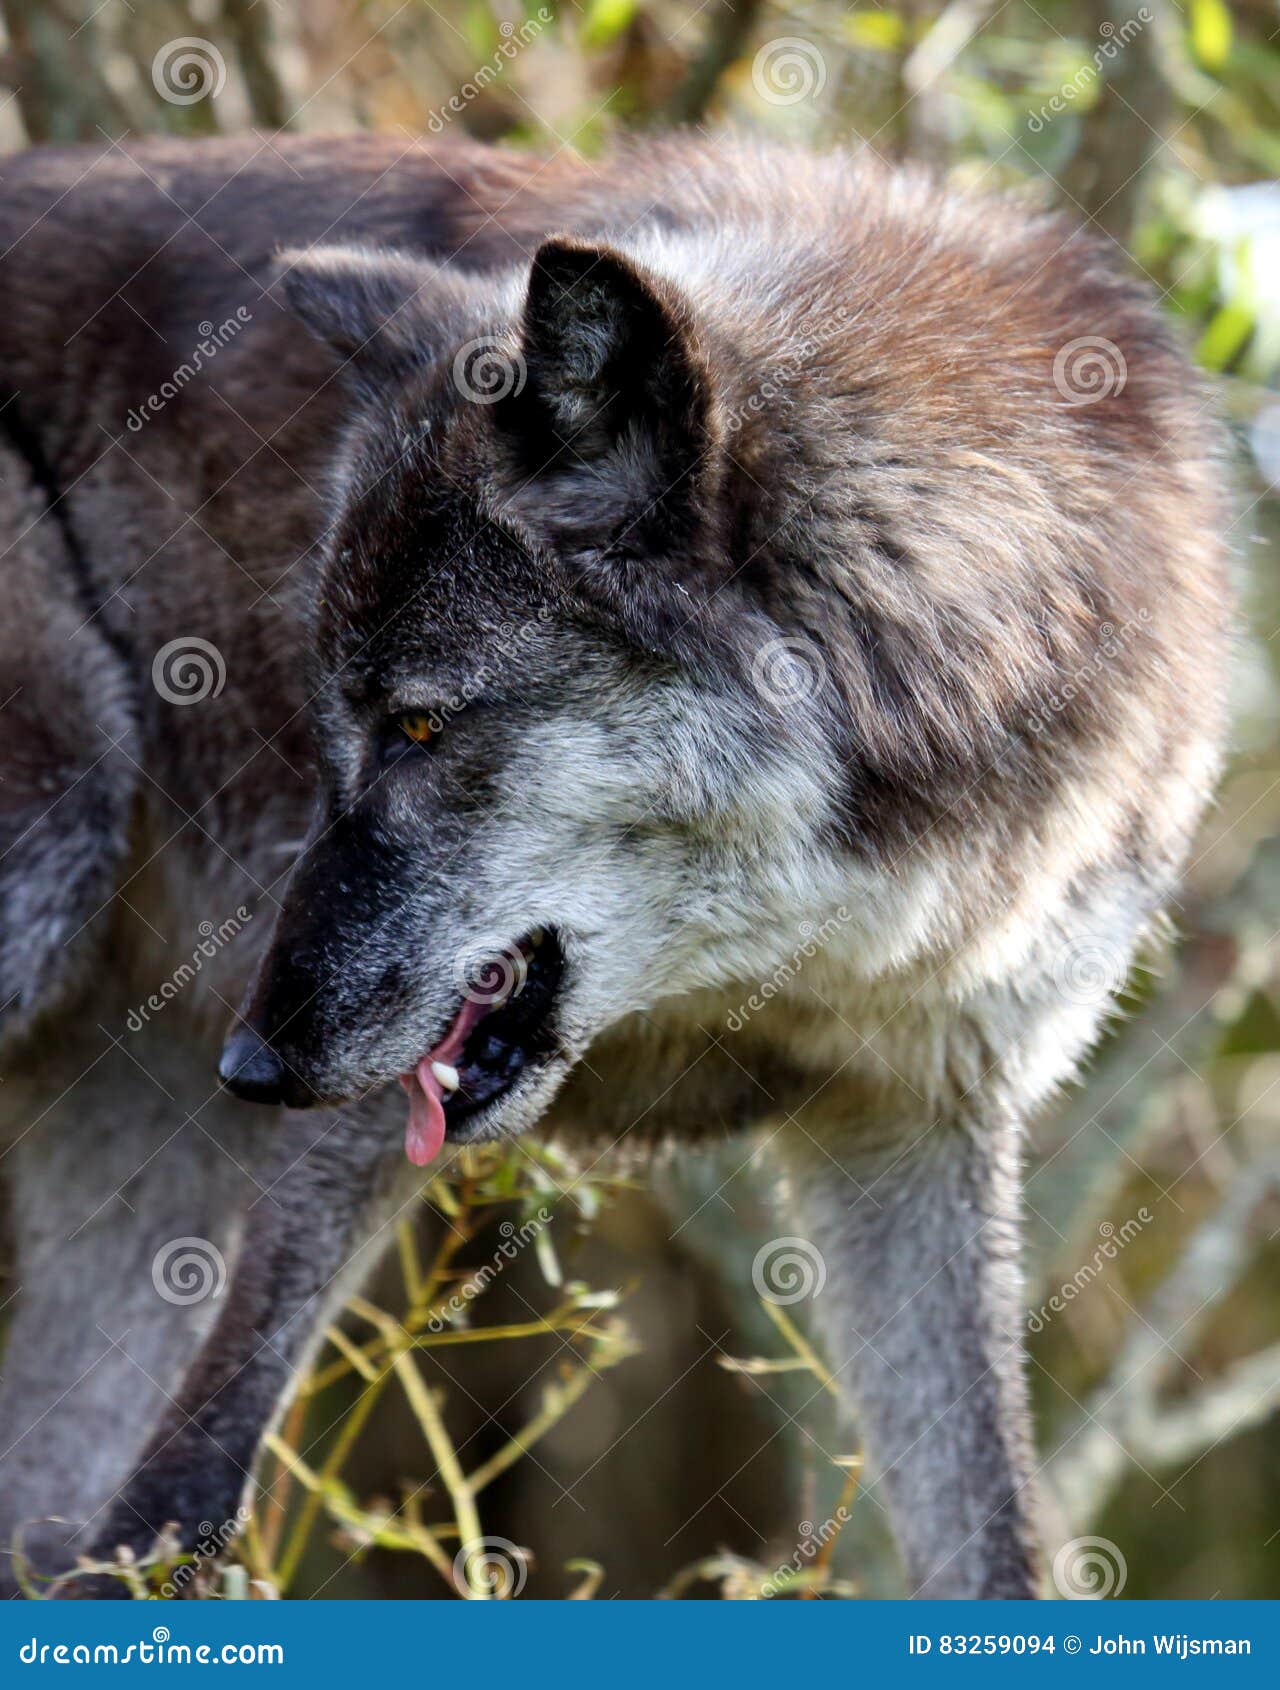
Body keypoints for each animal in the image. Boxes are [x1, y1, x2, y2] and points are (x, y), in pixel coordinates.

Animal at [0, 130, 1230, 1600]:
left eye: (417, 725)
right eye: (331, 725)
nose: (252, 1065)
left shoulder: (917, 1121)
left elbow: (992, 1544)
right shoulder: (370, 1100)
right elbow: (189, 1474)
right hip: (60, 846)